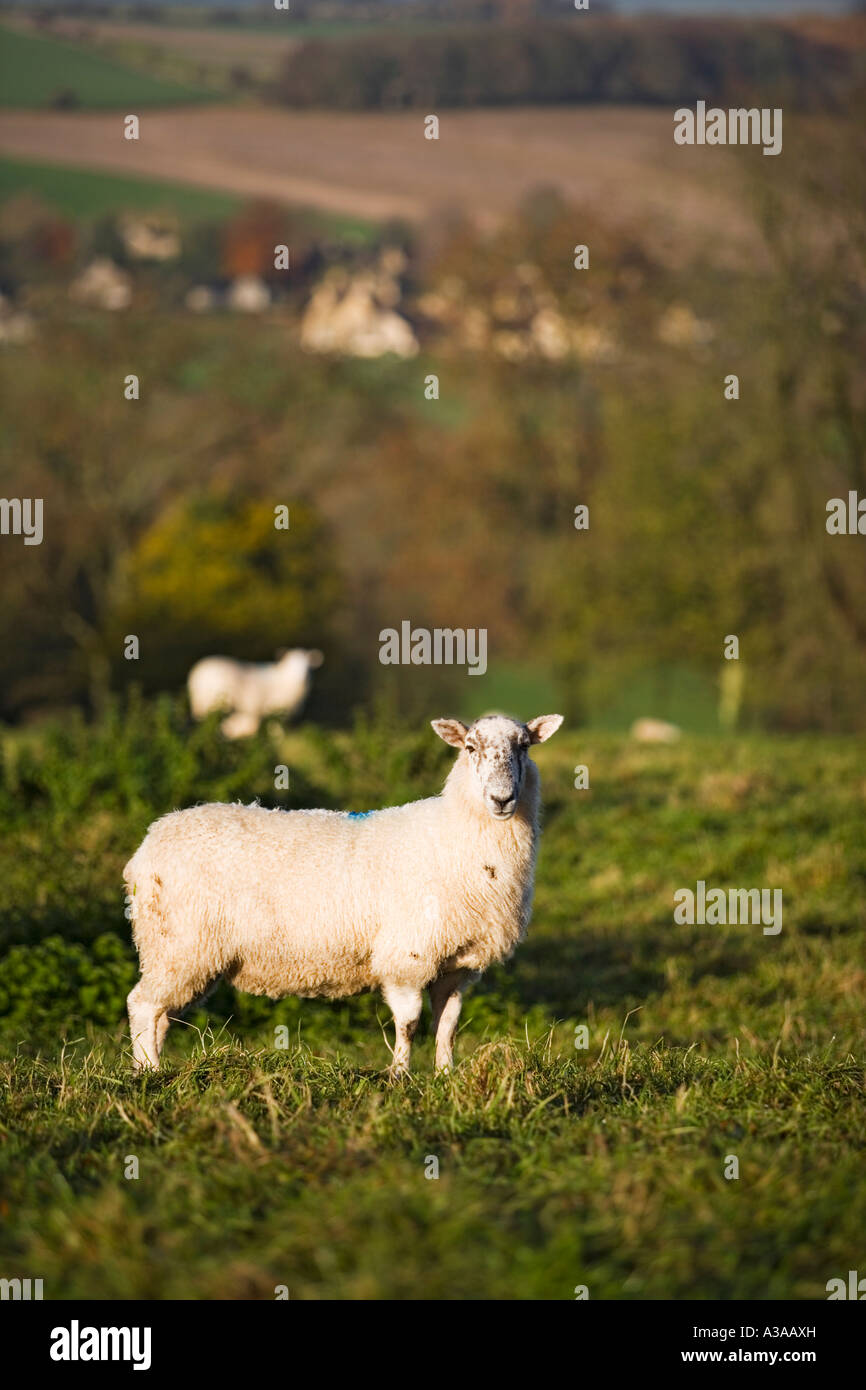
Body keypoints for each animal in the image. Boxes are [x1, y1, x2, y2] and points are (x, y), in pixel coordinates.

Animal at [124, 712, 563, 1076]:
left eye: (524, 746)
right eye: (470, 747)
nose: (502, 799)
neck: (454, 835)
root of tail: (149, 842)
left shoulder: (458, 966)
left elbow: (447, 1027)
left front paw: (445, 1076)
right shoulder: (406, 955)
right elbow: (409, 1023)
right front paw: (399, 1075)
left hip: (183, 953)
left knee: (161, 1014)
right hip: (177, 945)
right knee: (142, 1005)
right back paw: (149, 1073)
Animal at [187, 648, 324, 738]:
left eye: (308, 666)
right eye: (292, 665)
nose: (303, 677)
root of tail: (196, 671)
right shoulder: (273, 708)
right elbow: (275, 726)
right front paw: (277, 738)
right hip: (211, 703)